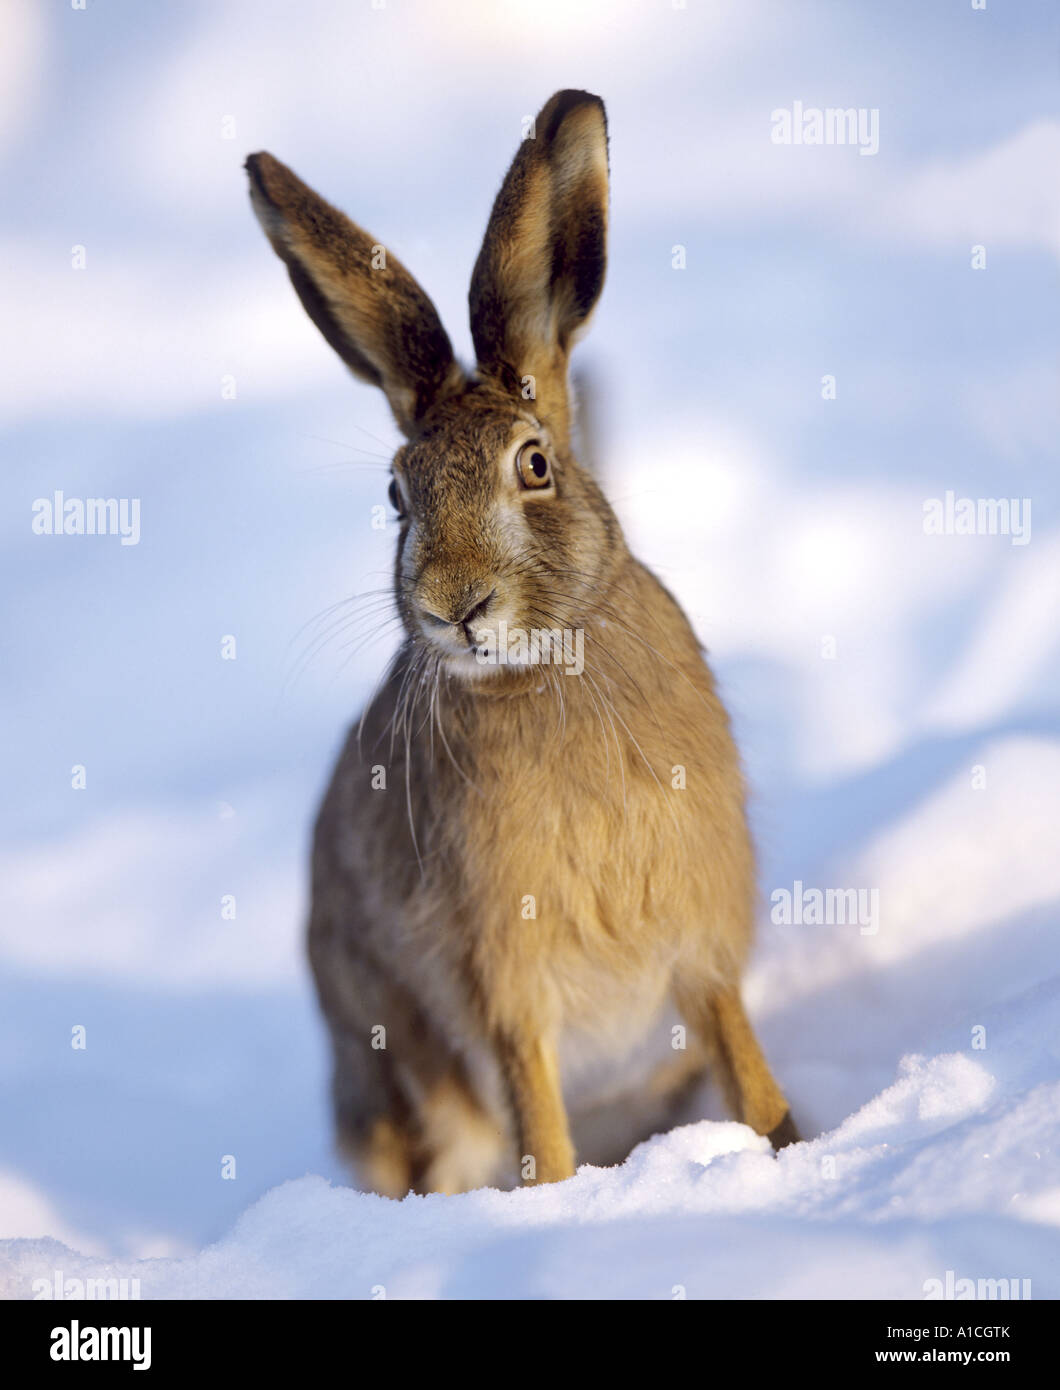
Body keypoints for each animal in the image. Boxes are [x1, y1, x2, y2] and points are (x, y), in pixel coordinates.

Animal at [246, 88, 799, 1197]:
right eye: (397, 496)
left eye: (533, 465)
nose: (456, 605)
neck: (548, 668)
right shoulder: (500, 985)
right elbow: (541, 1126)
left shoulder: (703, 947)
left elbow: (748, 1072)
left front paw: (796, 1151)